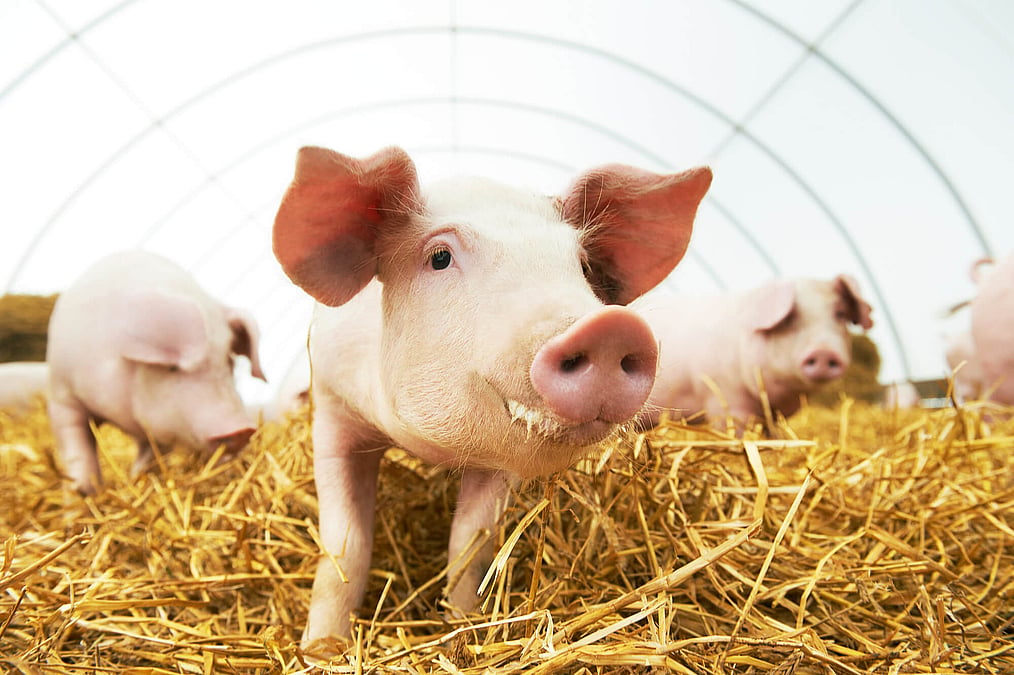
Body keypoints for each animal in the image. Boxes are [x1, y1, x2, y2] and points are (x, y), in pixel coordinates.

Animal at [46, 250, 266, 494]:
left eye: (228, 362)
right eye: (173, 368)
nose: (242, 429)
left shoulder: (159, 429)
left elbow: (151, 456)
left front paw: (138, 481)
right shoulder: (62, 395)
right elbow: (77, 449)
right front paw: (83, 493)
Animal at [271, 145, 712, 646]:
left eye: (581, 265)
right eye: (440, 257)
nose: (610, 327)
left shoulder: (500, 462)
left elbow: (471, 543)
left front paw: (463, 628)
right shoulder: (332, 410)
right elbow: (344, 543)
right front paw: (323, 649)